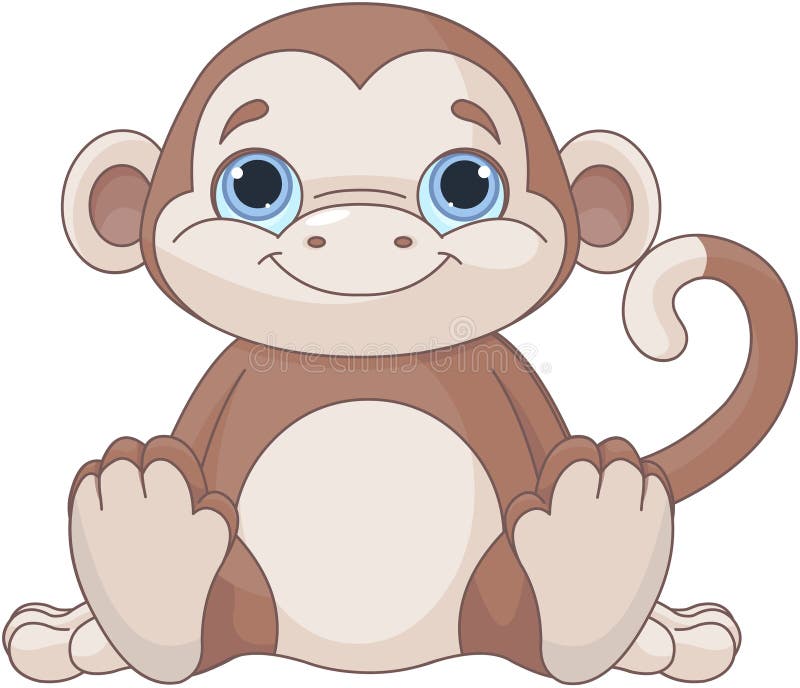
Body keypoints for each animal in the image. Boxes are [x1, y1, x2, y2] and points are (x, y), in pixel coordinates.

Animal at [3, 3, 796, 685]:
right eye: (254, 183)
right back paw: (138, 553)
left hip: (493, 595)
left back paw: (600, 550)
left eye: (467, 183)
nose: (360, 228)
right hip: (245, 597)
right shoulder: (229, 387)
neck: (368, 358)